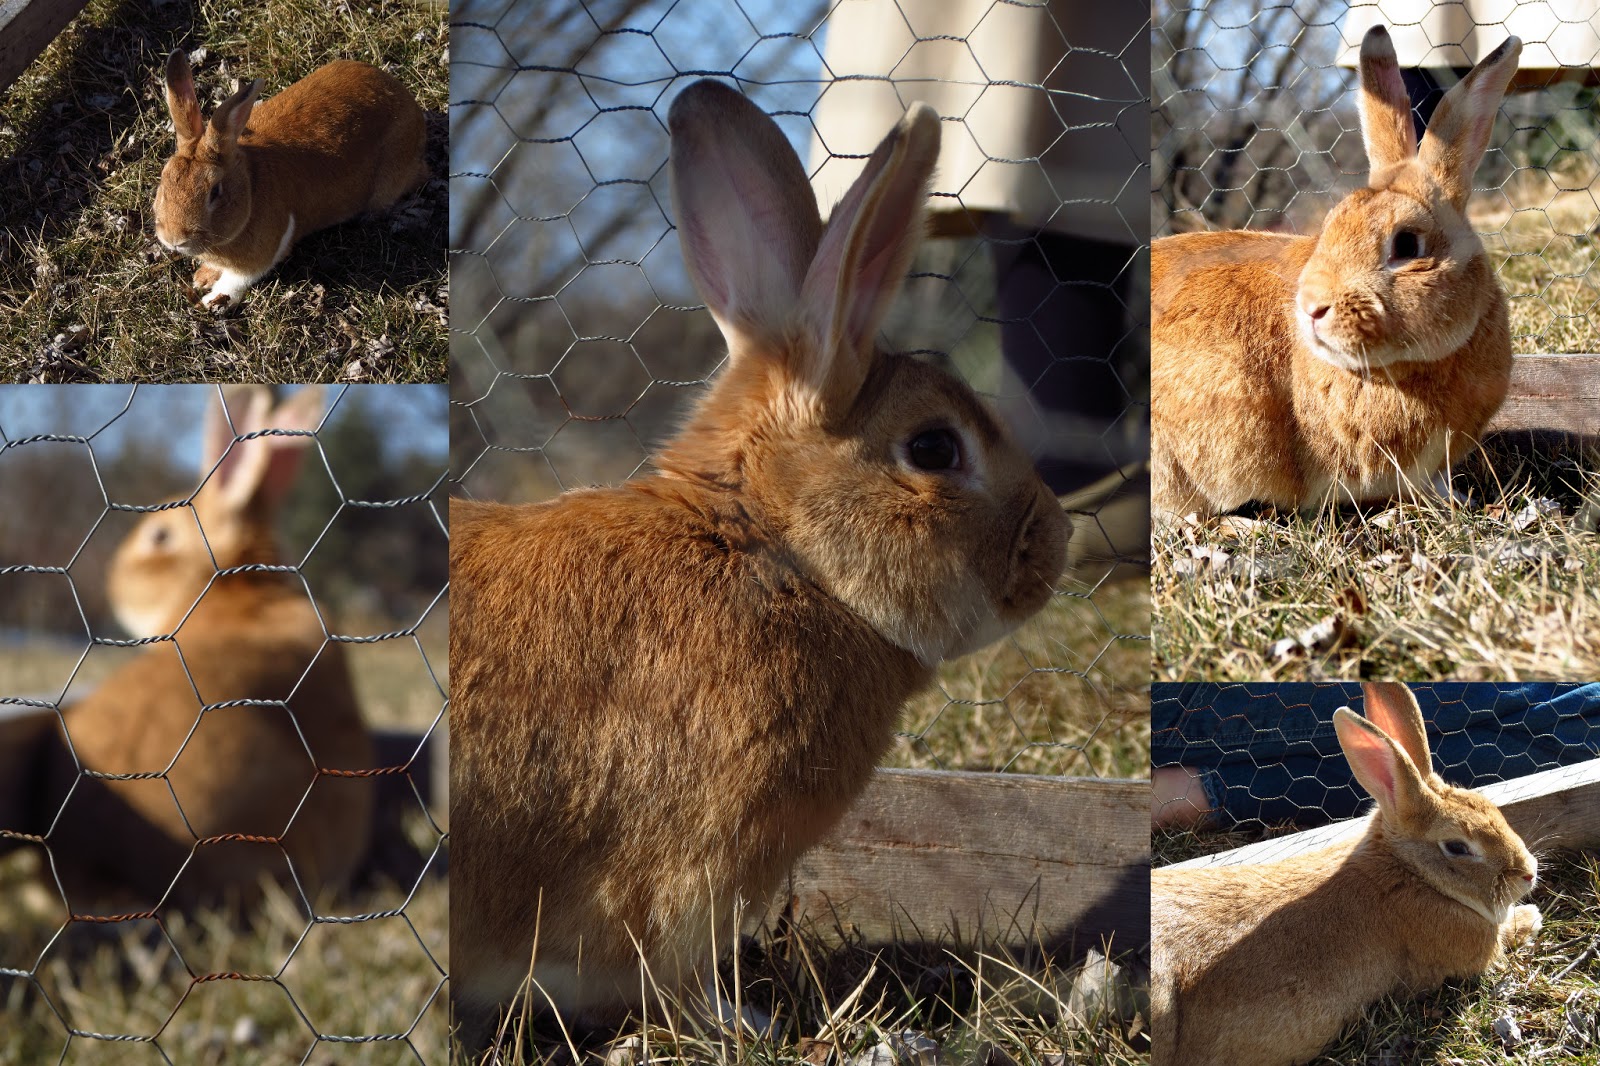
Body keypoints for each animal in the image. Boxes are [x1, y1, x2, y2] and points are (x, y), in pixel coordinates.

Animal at [154, 49, 429, 311]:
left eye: (215, 191)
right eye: (164, 180)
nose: (174, 239)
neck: (251, 186)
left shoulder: (263, 255)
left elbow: (235, 282)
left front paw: (213, 301)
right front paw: (203, 277)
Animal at [449, 78, 1070, 1045]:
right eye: (935, 448)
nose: (1055, 547)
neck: (776, 554)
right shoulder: (684, 875)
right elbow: (670, 970)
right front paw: (750, 1026)